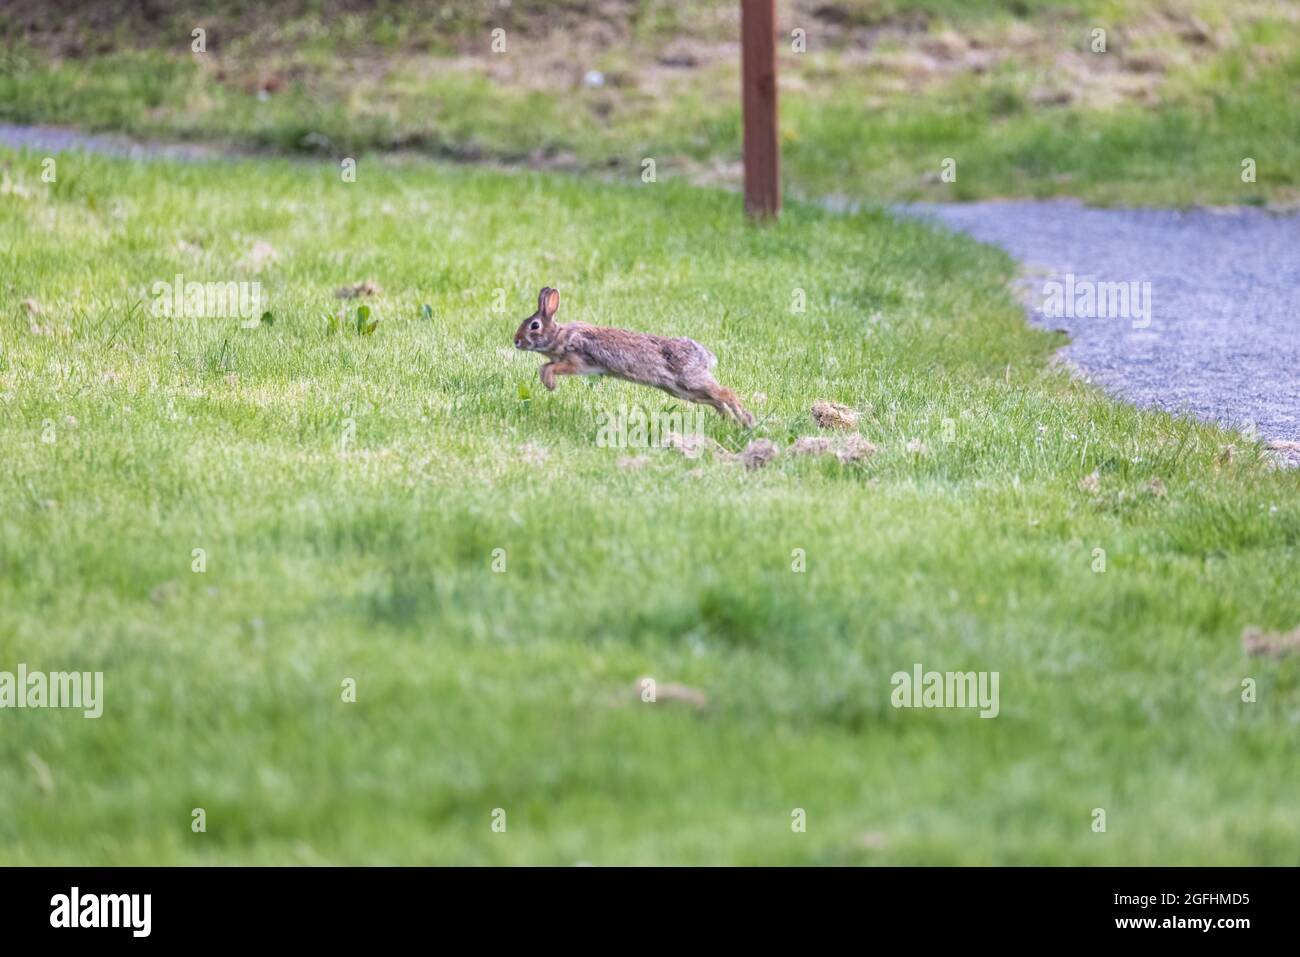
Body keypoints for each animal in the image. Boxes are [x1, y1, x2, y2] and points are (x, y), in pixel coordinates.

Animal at [513, 287, 755, 426]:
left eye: (534, 325)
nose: (516, 341)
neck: (558, 335)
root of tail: (705, 355)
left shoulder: (576, 363)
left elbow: (552, 368)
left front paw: (551, 385)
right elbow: (543, 367)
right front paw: (548, 384)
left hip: (690, 379)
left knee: (726, 393)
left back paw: (747, 421)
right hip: (681, 390)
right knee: (715, 399)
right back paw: (729, 421)